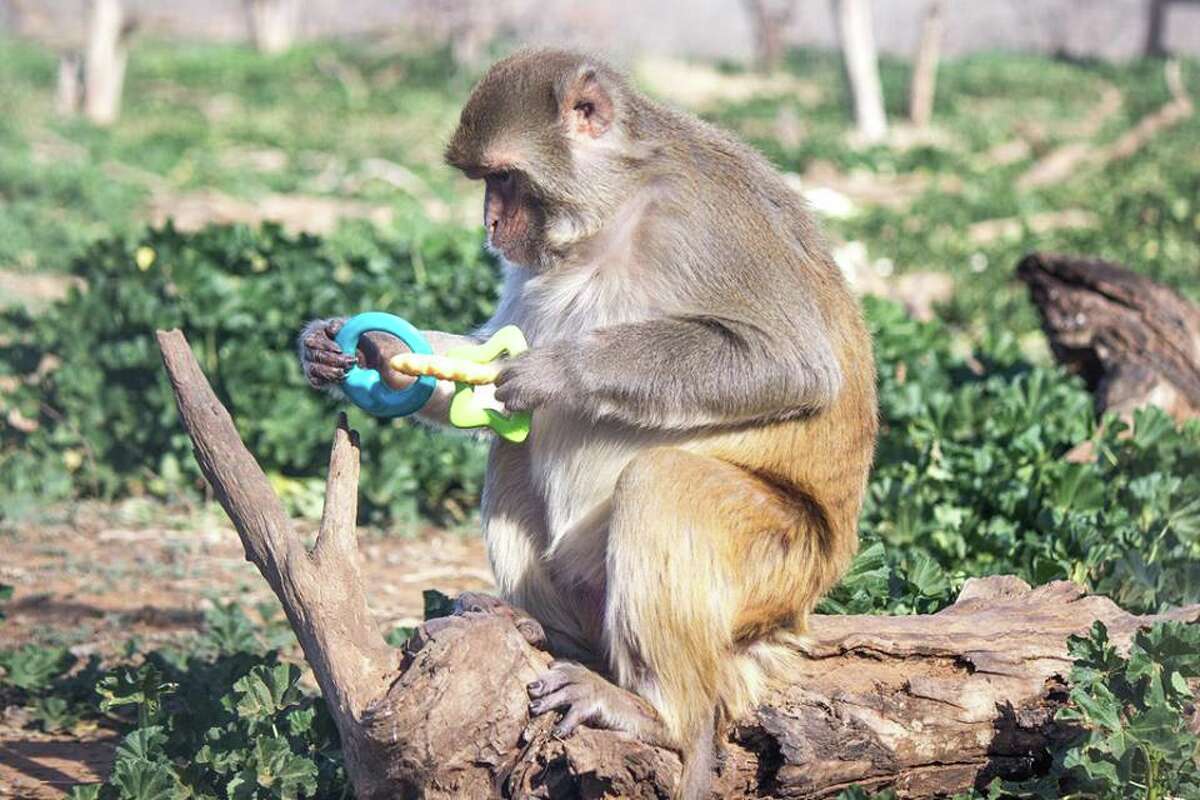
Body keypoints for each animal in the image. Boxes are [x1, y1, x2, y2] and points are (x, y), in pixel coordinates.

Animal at [299, 49, 877, 799]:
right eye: (485, 182)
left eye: (504, 179)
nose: (489, 226)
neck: (612, 211)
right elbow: (484, 355)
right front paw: (371, 351)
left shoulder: (704, 224)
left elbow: (792, 366)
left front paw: (558, 370)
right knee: (513, 456)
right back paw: (541, 630)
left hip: (779, 572)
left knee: (664, 484)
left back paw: (657, 715)